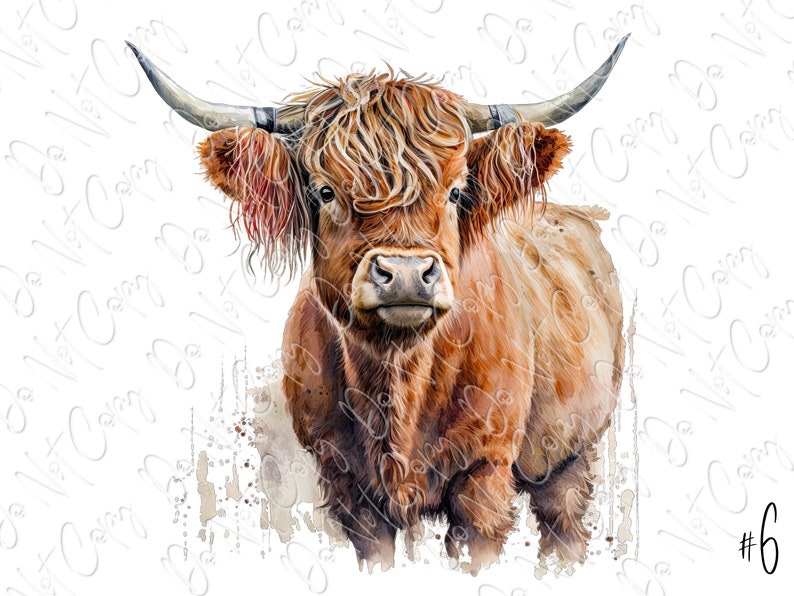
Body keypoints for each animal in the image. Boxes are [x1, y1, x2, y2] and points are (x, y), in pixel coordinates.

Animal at [129, 36, 628, 574]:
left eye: (457, 192)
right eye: (325, 191)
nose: (406, 274)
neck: (397, 385)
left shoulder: (484, 476)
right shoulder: (347, 486)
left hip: (570, 455)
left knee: (564, 524)